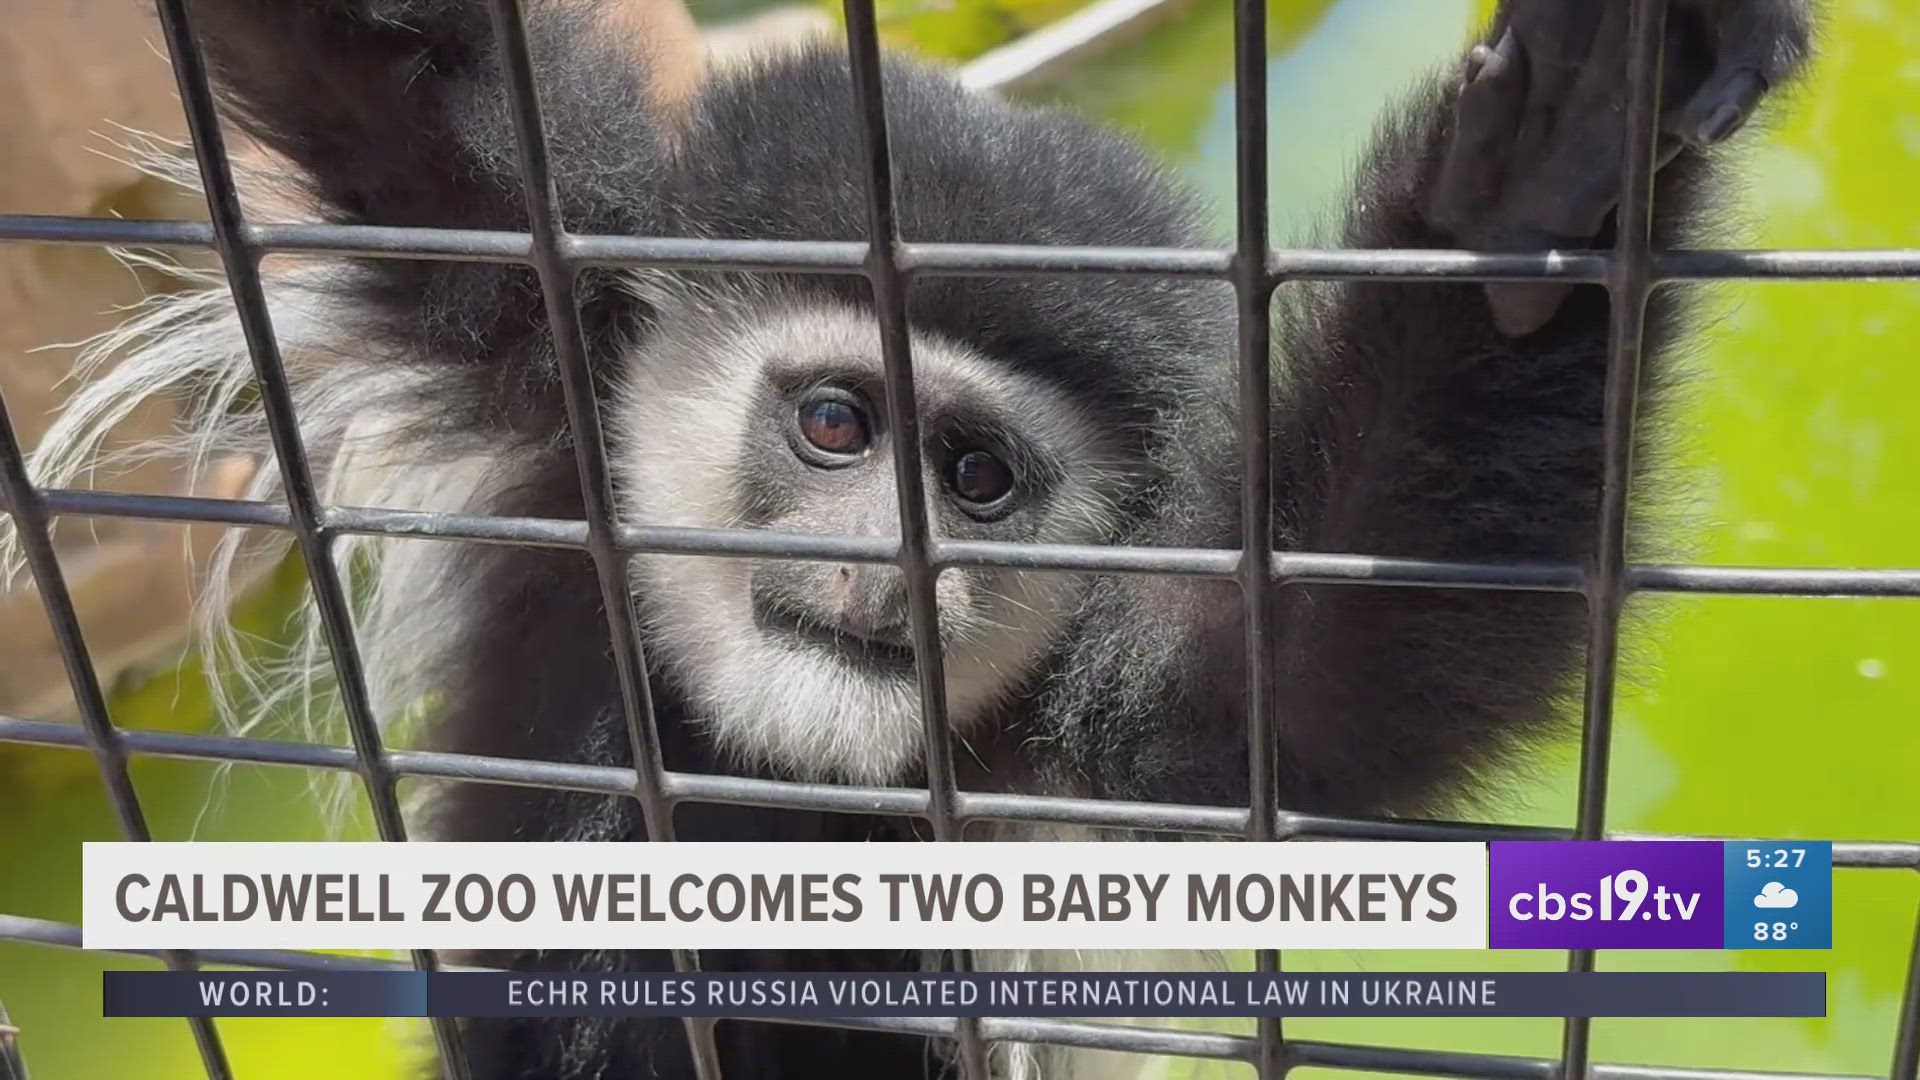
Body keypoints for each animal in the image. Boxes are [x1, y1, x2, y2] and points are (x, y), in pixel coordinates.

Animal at [9, 0, 1814, 1076]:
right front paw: (1557, 162)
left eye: (979, 476)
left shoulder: (1095, 735)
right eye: (835, 427)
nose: (886, 559)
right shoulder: (534, 336)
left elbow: (1321, 666)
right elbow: (379, 83)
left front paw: (1544, 198)